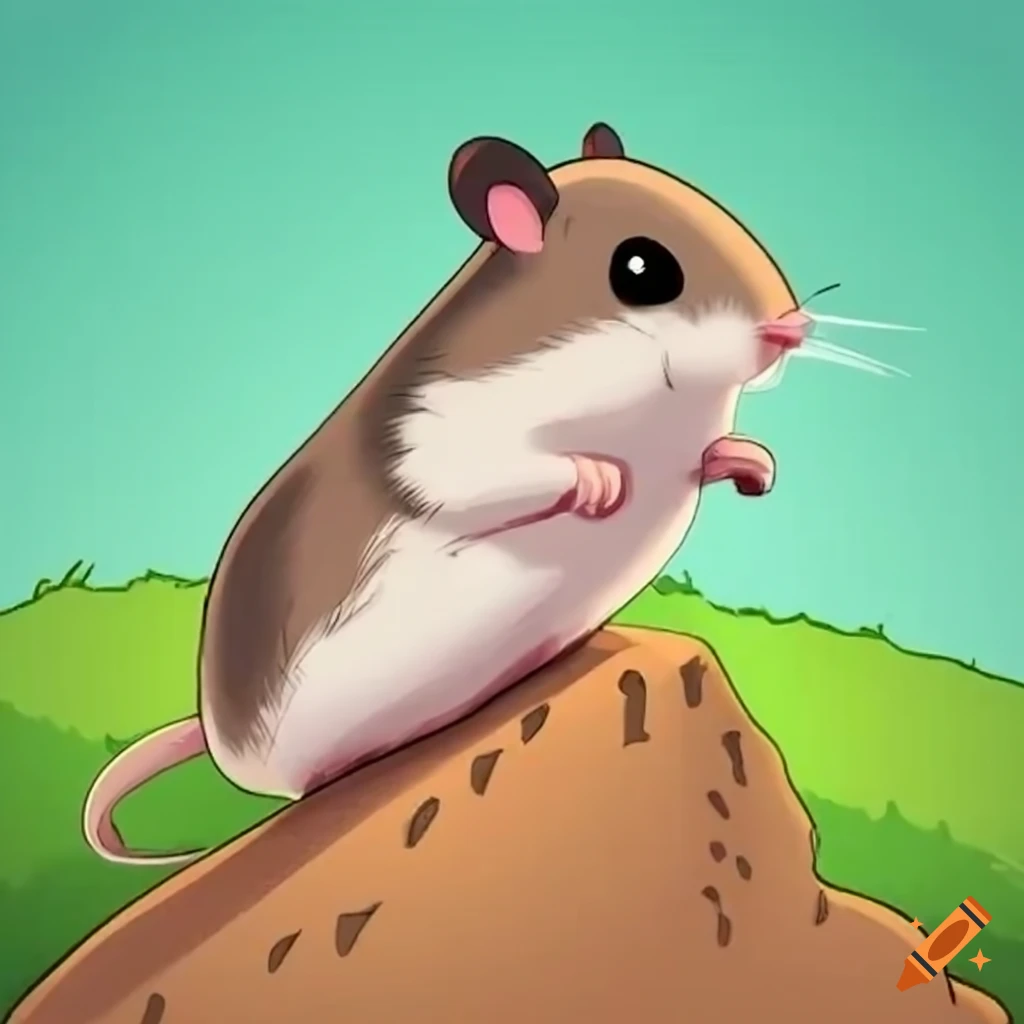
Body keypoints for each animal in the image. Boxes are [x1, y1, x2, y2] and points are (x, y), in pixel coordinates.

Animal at [82, 121, 812, 865]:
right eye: (642, 269)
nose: (795, 331)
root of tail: (213, 734)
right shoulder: (440, 435)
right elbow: (481, 475)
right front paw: (599, 482)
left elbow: (710, 460)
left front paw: (749, 464)